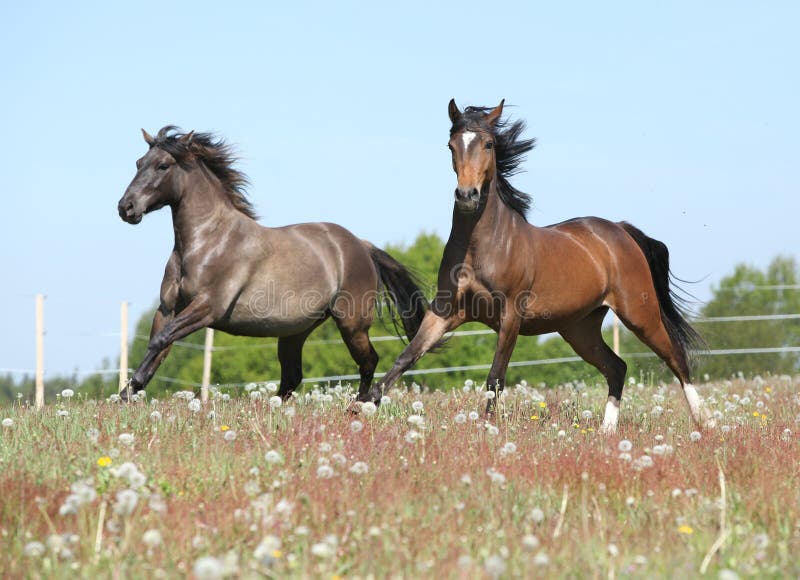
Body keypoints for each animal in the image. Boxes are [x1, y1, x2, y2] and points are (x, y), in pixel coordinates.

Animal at [117, 126, 427, 400]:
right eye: (138, 163)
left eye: (163, 166)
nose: (126, 208)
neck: (207, 241)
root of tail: (361, 245)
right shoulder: (168, 309)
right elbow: (159, 344)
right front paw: (127, 394)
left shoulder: (207, 307)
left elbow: (160, 340)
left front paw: (130, 388)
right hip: (296, 331)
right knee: (292, 377)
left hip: (351, 323)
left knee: (368, 361)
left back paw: (362, 404)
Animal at [359, 100, 713, 433]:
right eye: (451, 145)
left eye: (489, 144)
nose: (467, 195)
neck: (480, 247)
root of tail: (619, 230)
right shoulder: (446, 312)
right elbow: (407, 356)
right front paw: (362, 407)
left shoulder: (510, 316)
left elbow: (495, 377)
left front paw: (487, 427)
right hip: (579, 328)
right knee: (616, 367)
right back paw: (605, 431)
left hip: (639, 313)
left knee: (677, 359)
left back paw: (704, 422)